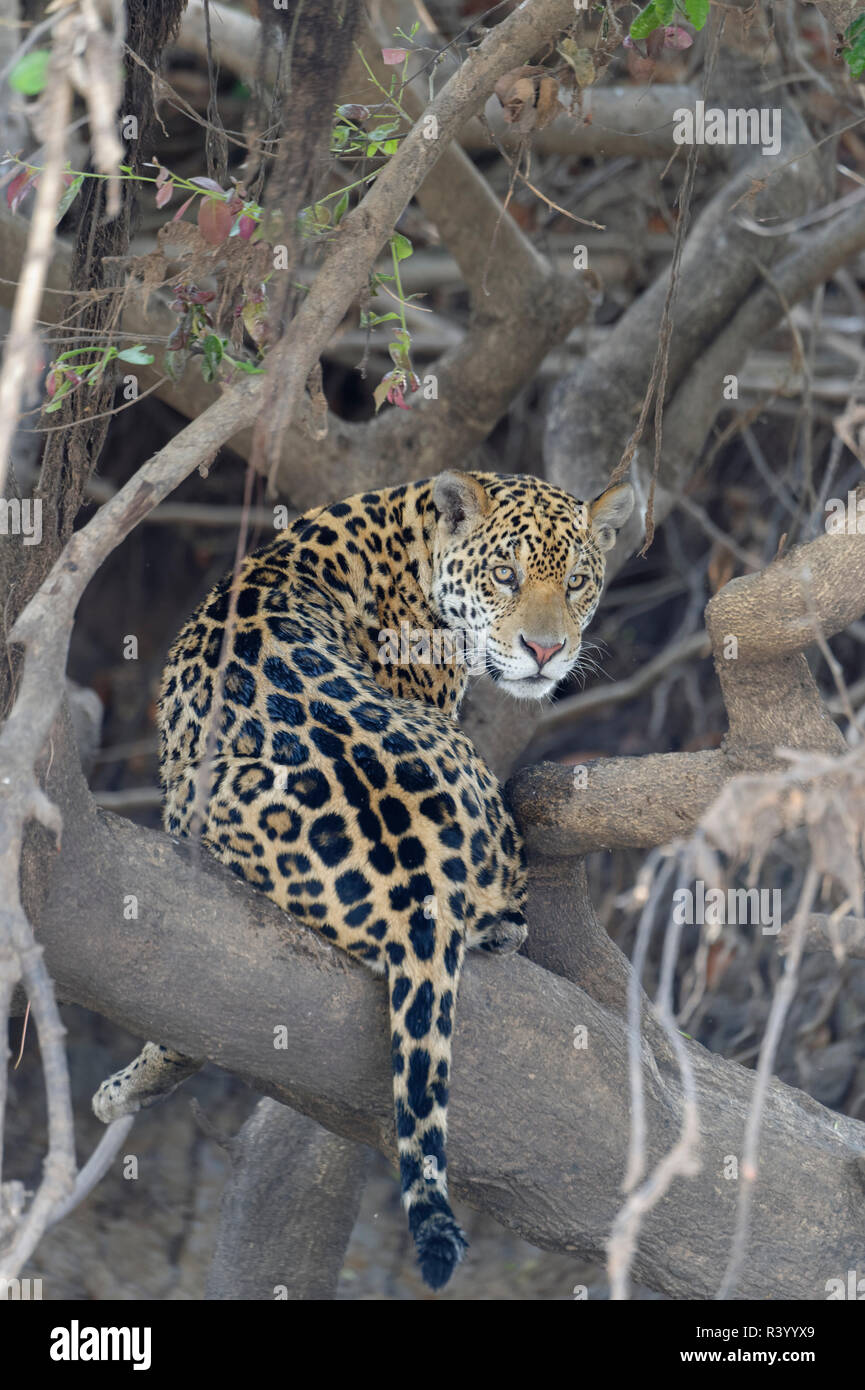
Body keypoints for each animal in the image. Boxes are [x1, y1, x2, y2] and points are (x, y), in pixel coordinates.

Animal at [92, 468, 633, 1291]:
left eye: (576, 582)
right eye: (505, 576)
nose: (545, 650)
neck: (407, 530)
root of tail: (417, 885)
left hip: (194, 803)